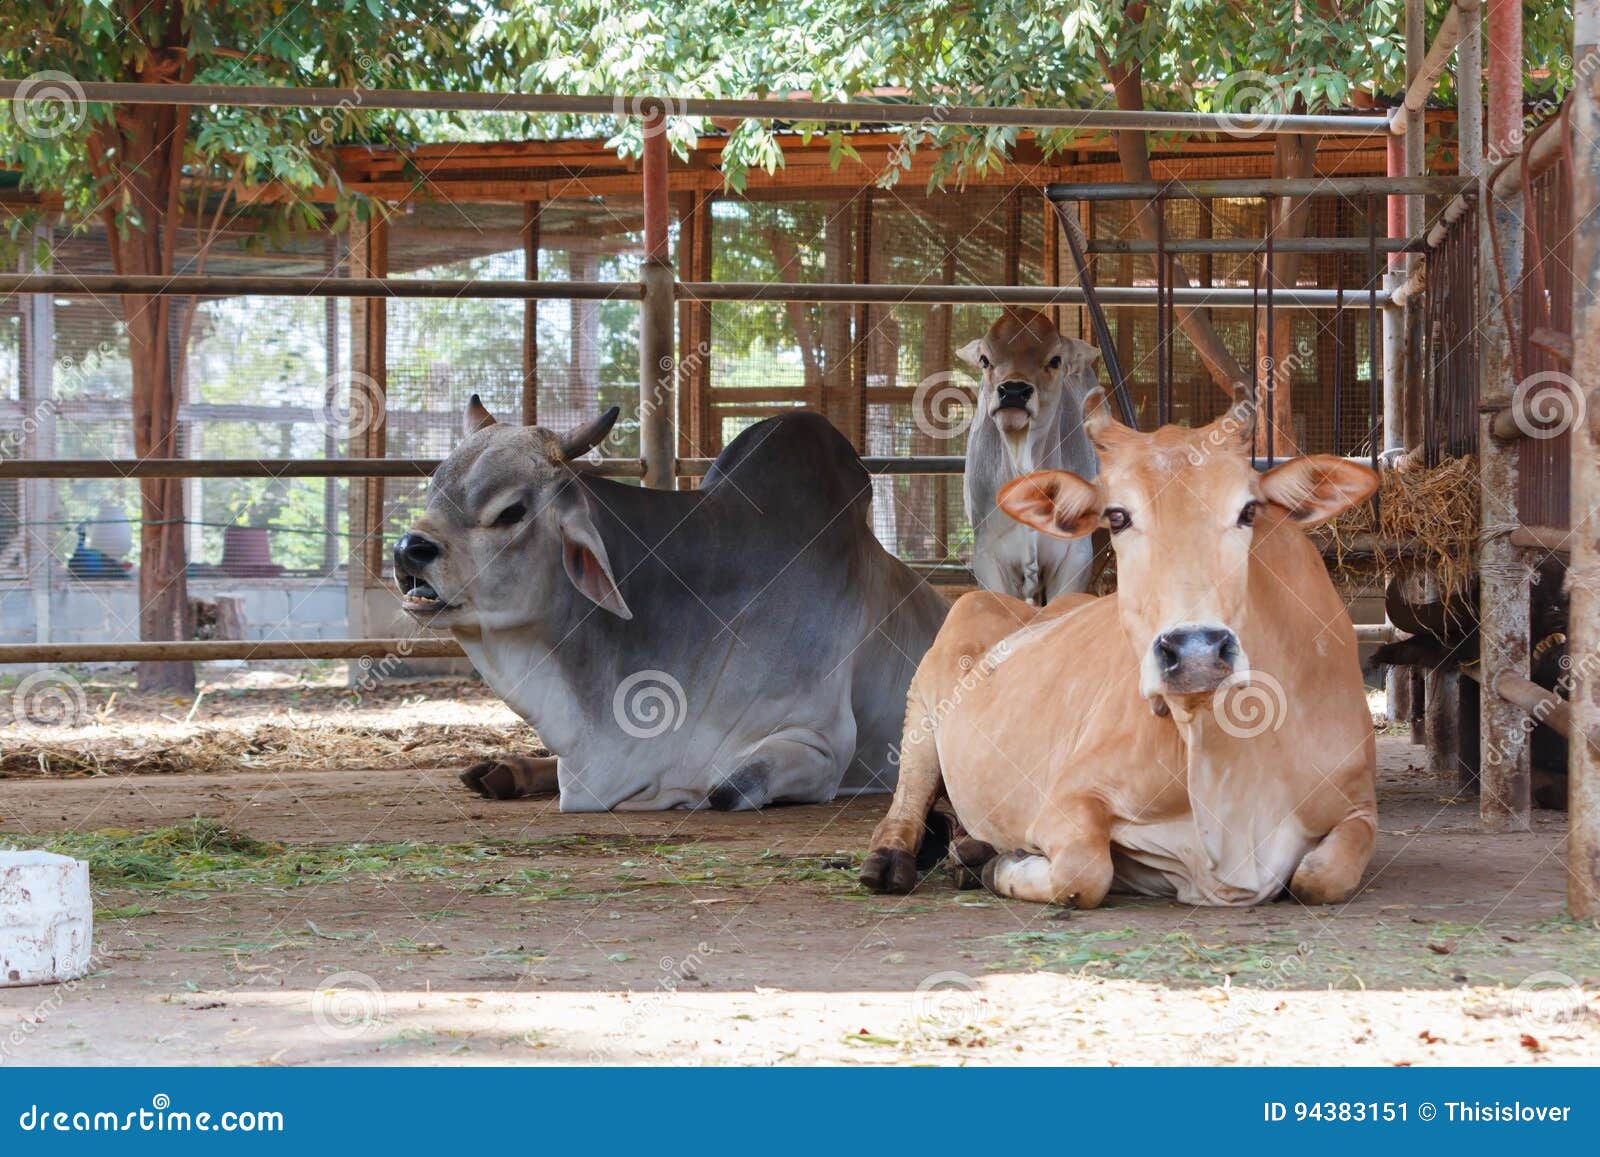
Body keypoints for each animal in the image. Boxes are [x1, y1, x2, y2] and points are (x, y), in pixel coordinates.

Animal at [861, 390, 1380, 907]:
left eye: (1249, 511)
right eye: (1118, 516)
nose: (1195, 651)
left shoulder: (1359, 804)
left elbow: (1323, 876)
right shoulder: (1070, 795)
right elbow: (1084, 872)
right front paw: (1004, 866)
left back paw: (969, 851)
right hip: (923, 709)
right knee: (907, 800)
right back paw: (893, 860)